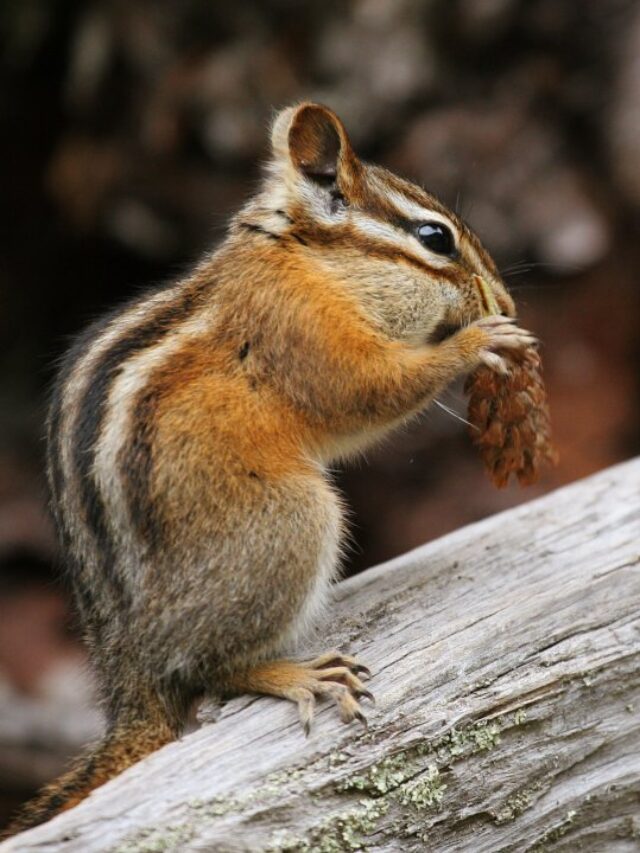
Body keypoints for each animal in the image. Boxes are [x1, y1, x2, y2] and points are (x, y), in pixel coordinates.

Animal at [3, 102, 534, 837]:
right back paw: (296, 675)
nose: (506, 302)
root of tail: (131, 674)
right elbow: (365, 392)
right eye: (436, 237)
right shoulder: (302, 331)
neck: (302, 258)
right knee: (208, 670)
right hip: (293, 518)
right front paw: (480, 342)